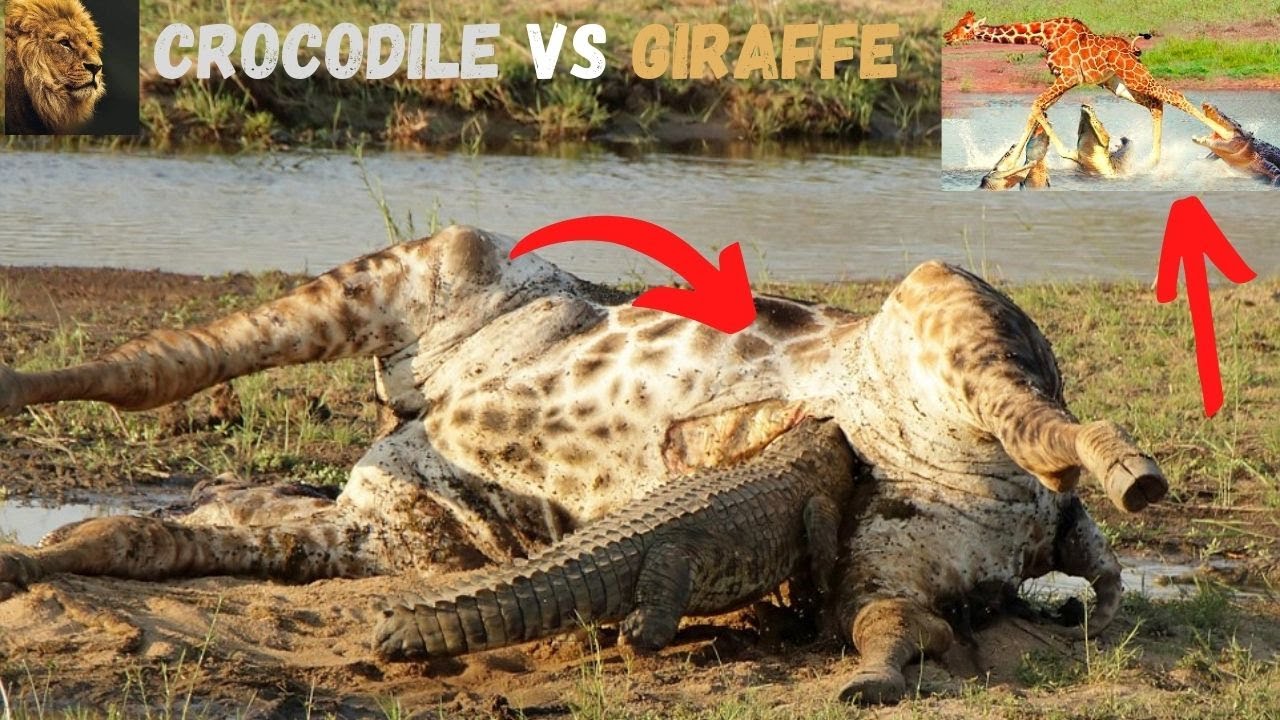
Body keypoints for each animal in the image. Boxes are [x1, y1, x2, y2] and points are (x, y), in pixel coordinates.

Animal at [0, 226, 1167, 703]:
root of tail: (1041, 527)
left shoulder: (433, 266)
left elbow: (154, 367)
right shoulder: (367, 532)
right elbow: (135, 527)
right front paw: (28, 560)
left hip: (944, 301)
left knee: (1039, 417)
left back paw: (1127, 469)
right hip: (905, 546)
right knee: (893, 621)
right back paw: (867, 675)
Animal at [944, 9, 1235, 166]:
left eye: (966, 26)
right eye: (957, 22)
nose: (947, 36)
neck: (1042, 36)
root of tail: (1131, 50)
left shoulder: (1068, 78)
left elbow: (1036, 105)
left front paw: (1071, 154)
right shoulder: (1063, 80)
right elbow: (1035, 111)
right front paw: (1011, 162)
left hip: (1134, 77)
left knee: (1173, 95)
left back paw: (1226, 134)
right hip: (1119, 84)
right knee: (1157, 103)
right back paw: (1152, 161)